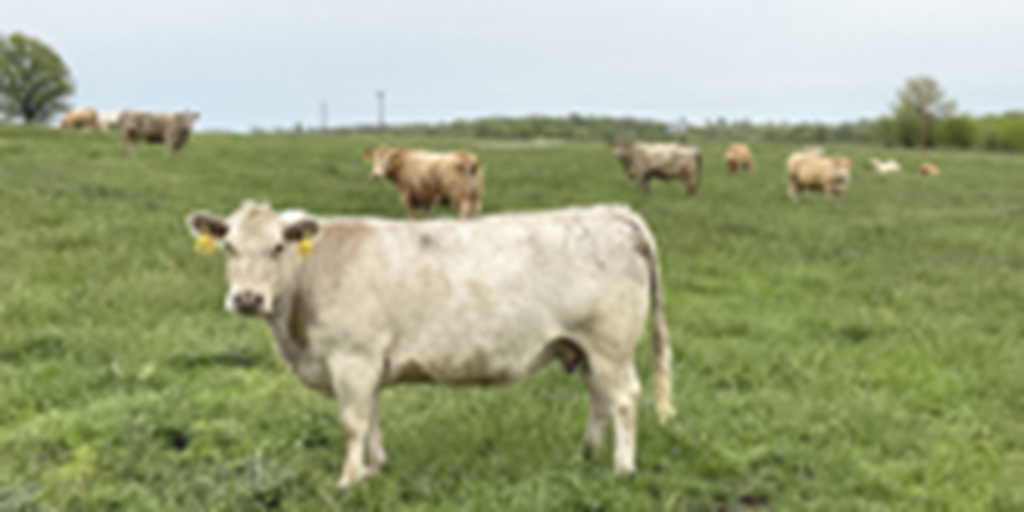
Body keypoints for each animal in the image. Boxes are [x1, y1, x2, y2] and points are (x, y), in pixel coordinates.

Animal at [185, 201, 675, 488]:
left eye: (277, 247)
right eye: (228, 247)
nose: (247, 298)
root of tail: (610, 211)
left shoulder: (351, 359)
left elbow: (352, 422)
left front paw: (348, 480)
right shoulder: (368, 363)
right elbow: (372, 418)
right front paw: (374, 469)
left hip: (610, 346)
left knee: (625, 399)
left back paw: (622, 468)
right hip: (584, 348)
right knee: (599, 400)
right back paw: (585, 456)